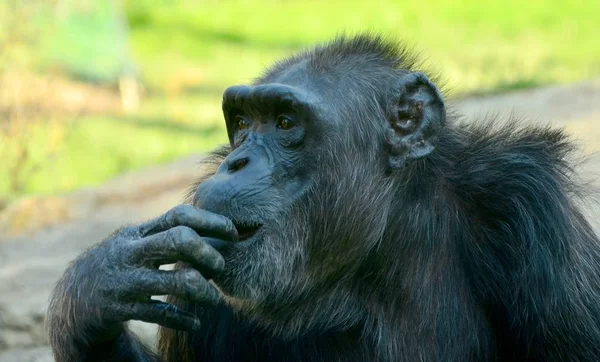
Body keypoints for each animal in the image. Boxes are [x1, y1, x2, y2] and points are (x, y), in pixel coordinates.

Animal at [45, 34, 600, 362]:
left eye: (285, 122)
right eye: (242, 122)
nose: (236, 161)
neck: (371, 255)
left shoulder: (529, 206)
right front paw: (100, 284)